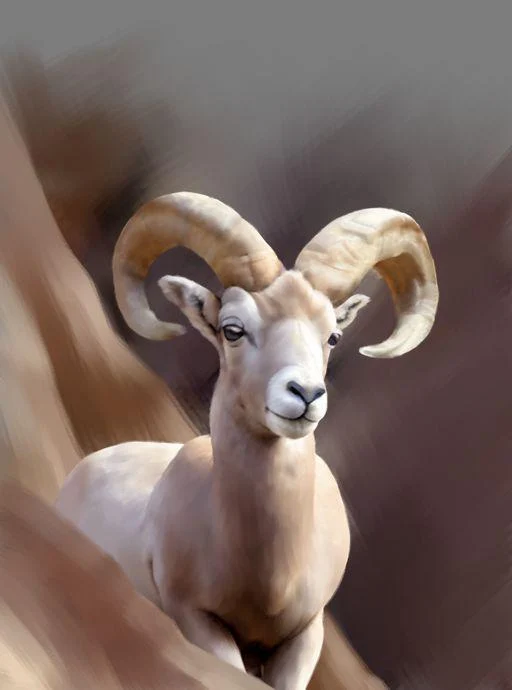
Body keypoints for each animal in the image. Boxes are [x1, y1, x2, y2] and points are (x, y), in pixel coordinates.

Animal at [56, 192, 438, 690]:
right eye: (232, 329)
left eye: (333, 336)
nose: (304, 394)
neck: (268, 578)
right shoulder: (199, 623)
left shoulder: (304, 636)